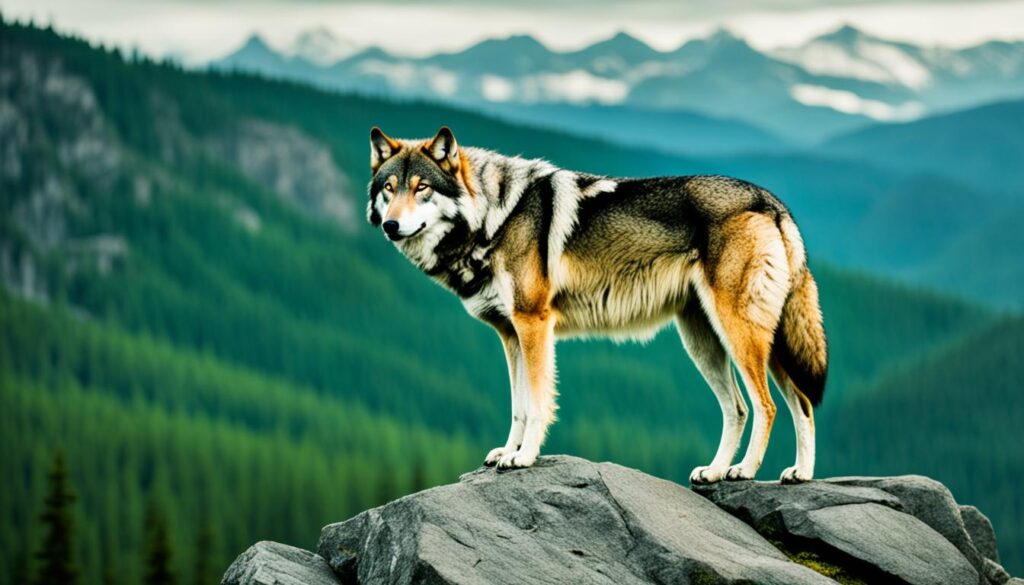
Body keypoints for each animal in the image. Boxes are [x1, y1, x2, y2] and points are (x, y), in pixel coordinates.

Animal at [366, 126, 828, 483]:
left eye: (421, 188)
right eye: (389, 189)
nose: (390, 225)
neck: (493, 217)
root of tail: (771, 201)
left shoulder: (533, 324)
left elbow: (537, 403)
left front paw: (524, 457)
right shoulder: (510, 335)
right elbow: (518, 407)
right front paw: (506, 451)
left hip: (740, 335)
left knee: (767, 406)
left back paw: (743, 471)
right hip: (718, 343)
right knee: (772, 406)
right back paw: (771, 473)